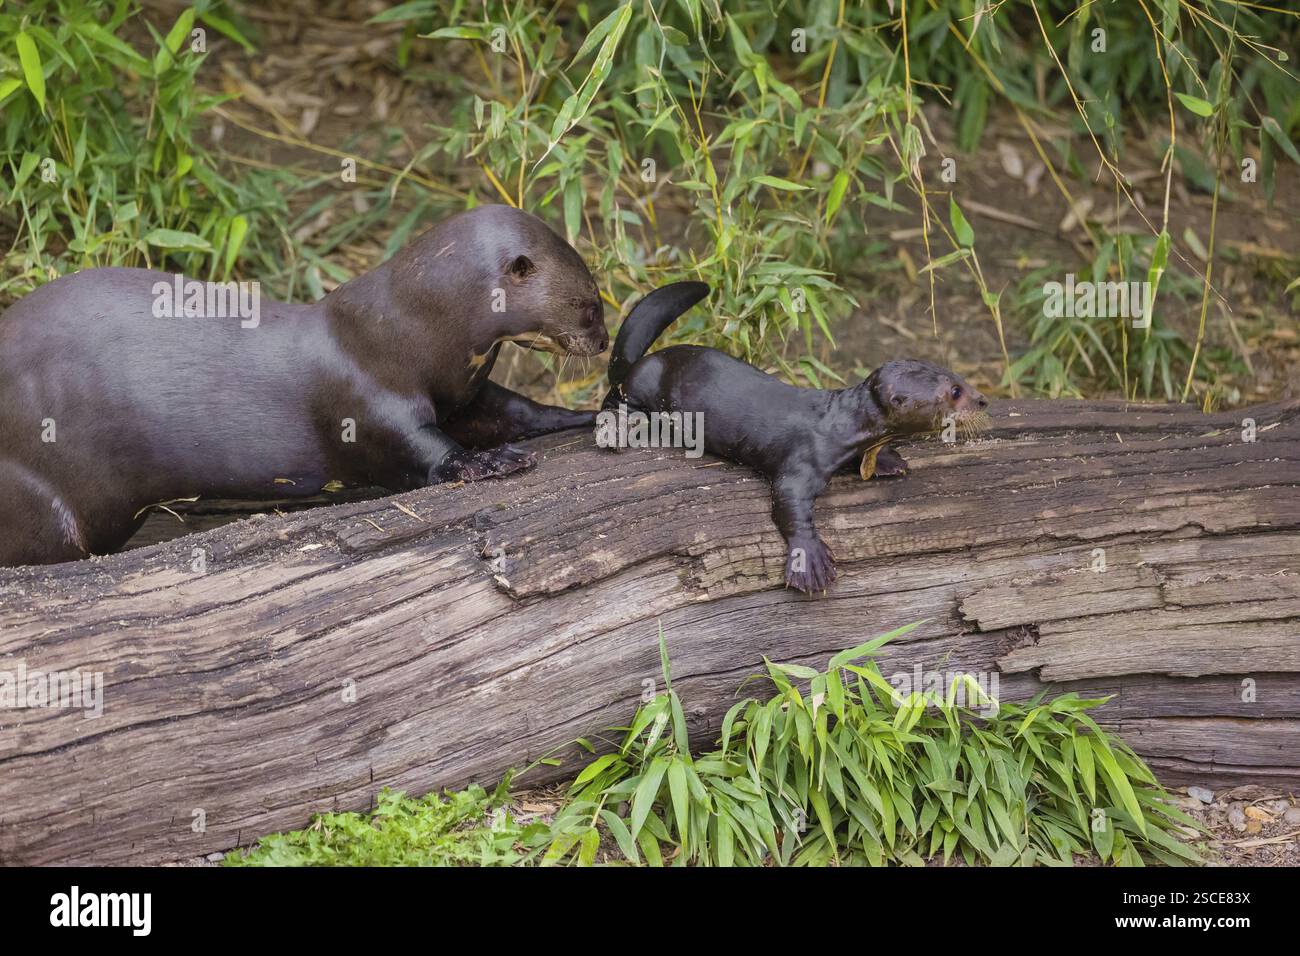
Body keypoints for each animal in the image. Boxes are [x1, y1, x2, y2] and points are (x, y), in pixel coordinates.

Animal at [0, 204, 607, 566]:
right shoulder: (370, 397)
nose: (601, 342)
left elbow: (513, 411)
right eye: (588, 305)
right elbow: (419, 450)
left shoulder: (464, 392)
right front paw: (489, 463)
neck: (411, 332)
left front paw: (587, 415)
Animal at [603, 282, 989, 594]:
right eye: (955, 392)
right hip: (642, 382)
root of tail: (645, 359)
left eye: (959, 376)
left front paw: (886, 459)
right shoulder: (800, 463)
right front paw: (810, 562)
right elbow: (789, 505)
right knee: (615, 398)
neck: (839, 423)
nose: (983, 400)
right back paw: (616, 431)